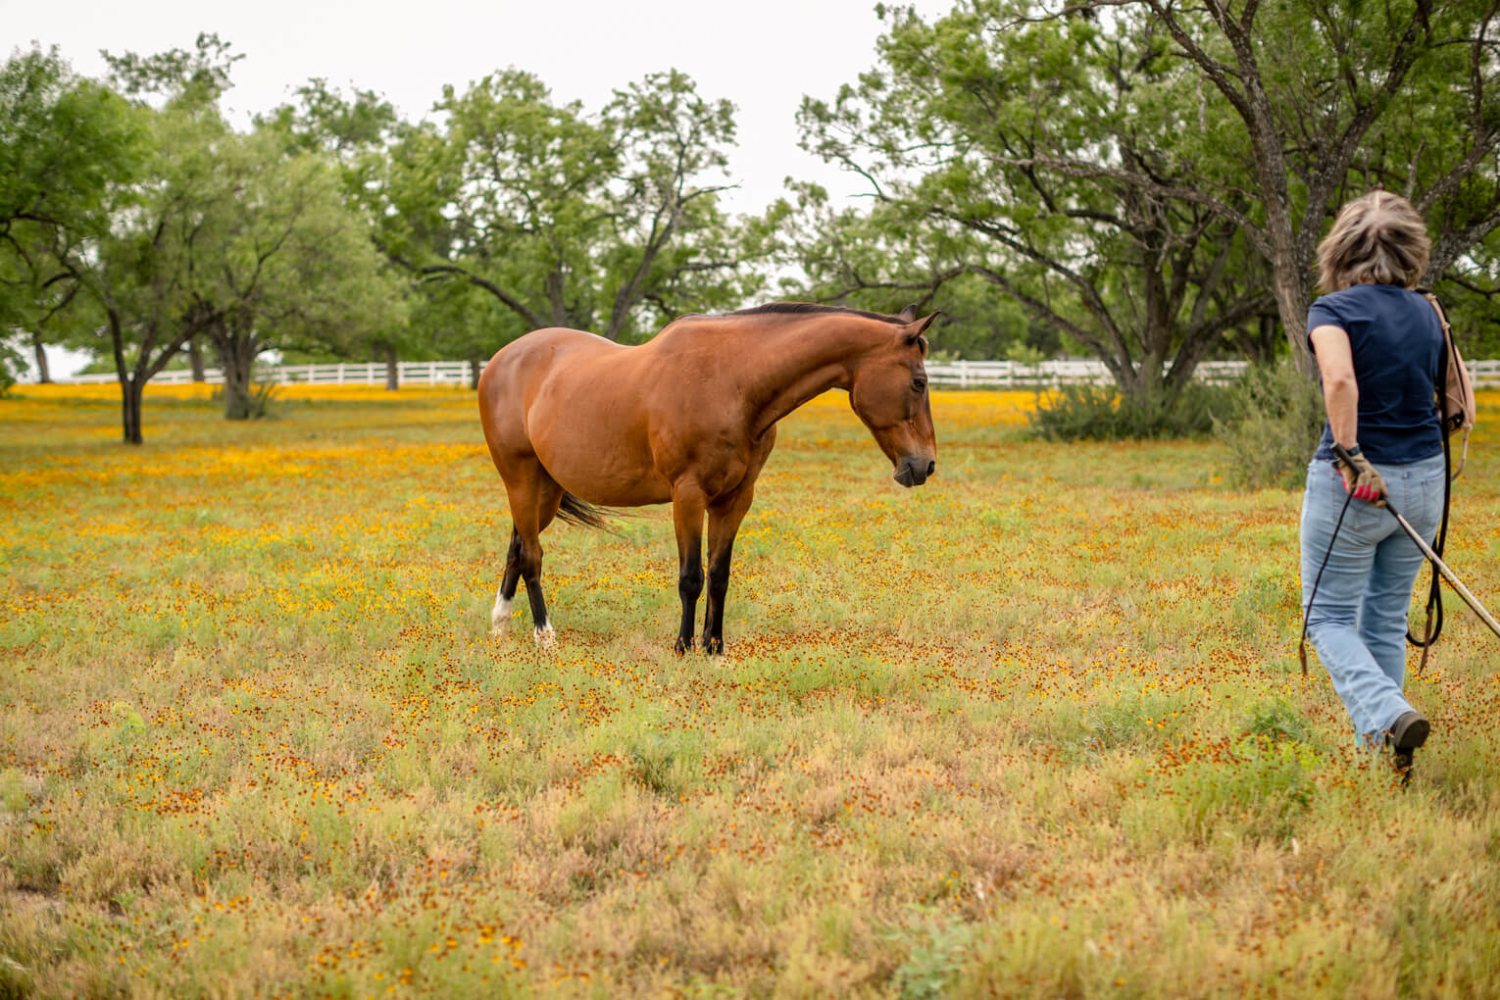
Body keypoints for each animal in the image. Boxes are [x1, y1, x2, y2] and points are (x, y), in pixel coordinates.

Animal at [477, 302, 940, 653]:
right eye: (918, 382)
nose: (925, 465)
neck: (733, 381)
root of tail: (499, 361)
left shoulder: (735, 499)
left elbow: (719, 575)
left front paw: (714, 647)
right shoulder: (688, 495)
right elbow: (691, 577)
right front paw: (683, 647)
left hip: (547, 489)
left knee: (517, 547)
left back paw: (500, 628)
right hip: (520, 479)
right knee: (532, 556)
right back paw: (544, 637)